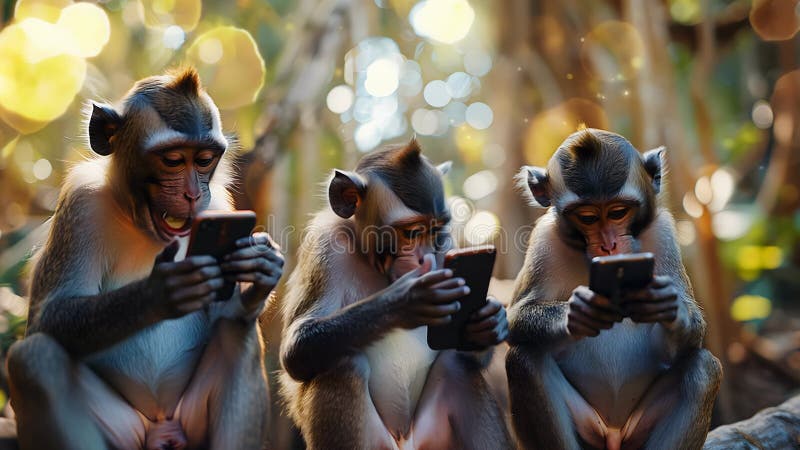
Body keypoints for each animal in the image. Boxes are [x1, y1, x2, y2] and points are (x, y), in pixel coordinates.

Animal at [5, 68, 283, 450]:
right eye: (172, 159)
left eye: (204, 159)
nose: (193, 193)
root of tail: (161, 428)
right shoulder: (81, 204)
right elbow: (45, 318)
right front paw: (159, 292)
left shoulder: (218, 206)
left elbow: (227, 313)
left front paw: (260, 267)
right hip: (125, 431)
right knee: (34, 359)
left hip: (188, 421)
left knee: (237, 336)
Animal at [278, 139, 513, 450]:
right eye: (411, 233)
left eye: (436, 230)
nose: (425, 258)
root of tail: (404, 440)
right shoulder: (325, 246)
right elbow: (296, 347)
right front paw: (407, 300)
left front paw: (491, 319)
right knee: (342, 366)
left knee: (458, 366)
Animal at [505, 129, 722, 450]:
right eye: (588, 217)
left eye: (619, 211)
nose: (609, 245)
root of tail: (614, 433)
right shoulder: (544, 239)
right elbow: (513, 320)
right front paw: (576, 313)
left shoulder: (663, 232)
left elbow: (689, 339)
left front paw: (671, 309)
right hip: (590, 427)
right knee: (524, 360)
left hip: (636, 429)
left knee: (703, 369)